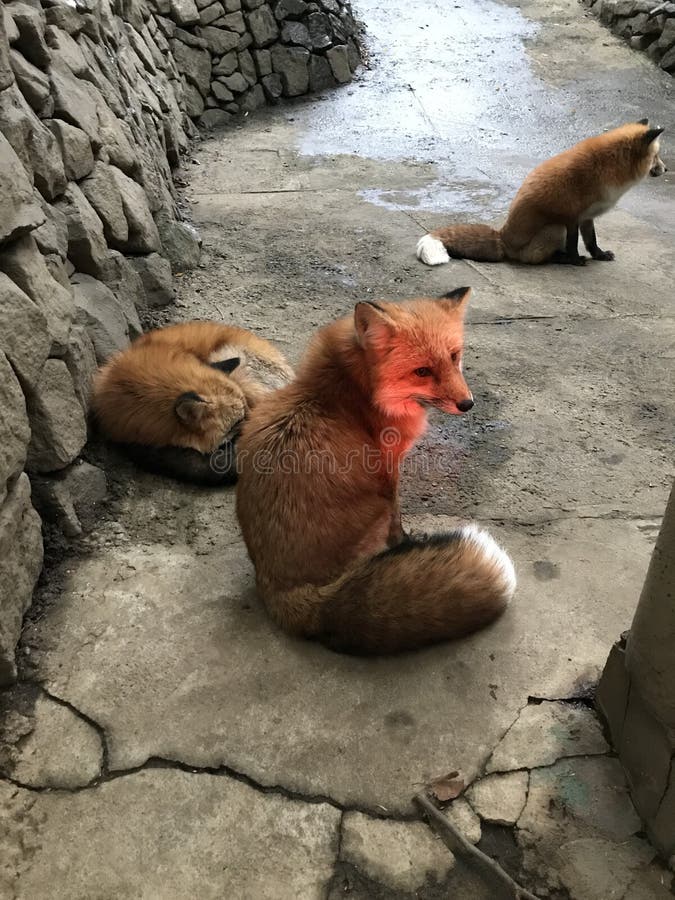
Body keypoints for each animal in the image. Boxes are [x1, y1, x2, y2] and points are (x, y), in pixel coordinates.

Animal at [236, 288, 516, 655]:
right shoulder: (388, 472)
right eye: (422, 371)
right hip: (376, 509)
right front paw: (406, 542)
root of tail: (287, 595)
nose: (467, 404)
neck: (354, 390)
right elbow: (399, 518)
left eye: (455, 357)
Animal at [417, 120, 666, 267]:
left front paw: (599, 255)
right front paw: (575, 260)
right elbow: (575, 242)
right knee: (537, 258)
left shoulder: (587, 216)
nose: (666, 169)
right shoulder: (570, 216)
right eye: (656, 157)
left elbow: (591, 240)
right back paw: (561, 259)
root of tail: (503, 238)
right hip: (554, 228)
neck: (607, 169)